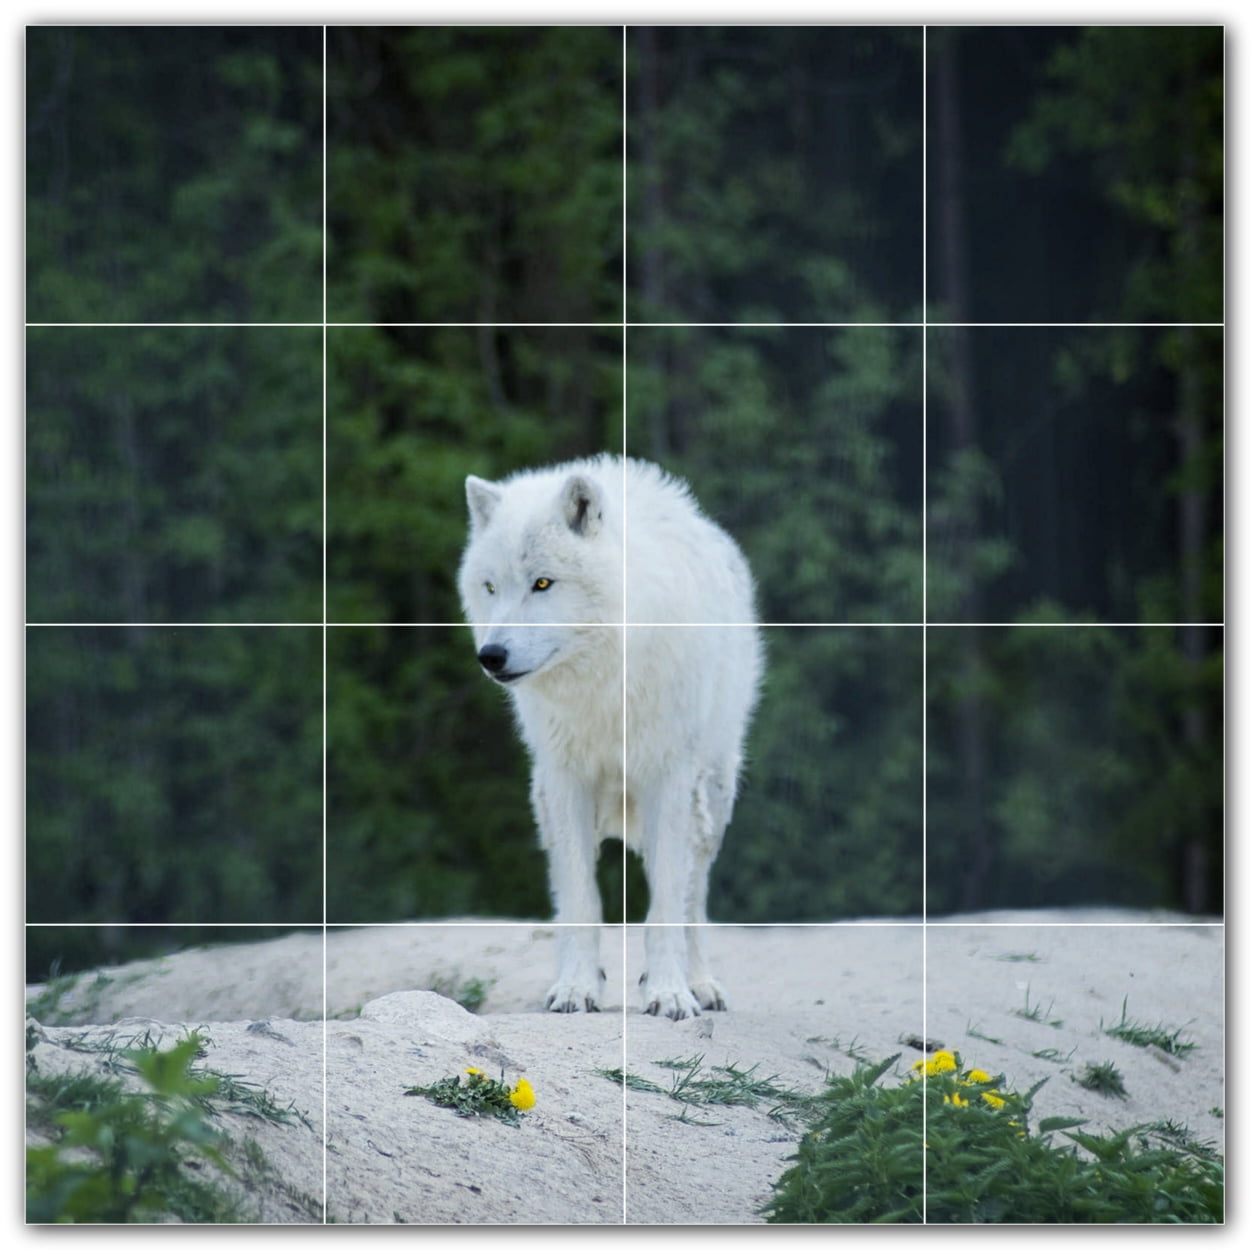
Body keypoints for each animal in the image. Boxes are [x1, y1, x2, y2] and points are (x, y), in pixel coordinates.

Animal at [458, 454, 762, 1020]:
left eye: (542, 583)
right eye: (490, 588)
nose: (490, 656)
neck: (603, 679)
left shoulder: (669, 777)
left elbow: (665, 905)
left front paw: (669, 992)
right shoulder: (565, 778)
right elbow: (581, 899)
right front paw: (577, 988)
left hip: (711, 796)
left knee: (694, 898)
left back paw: (701, 984)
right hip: (546, 801)